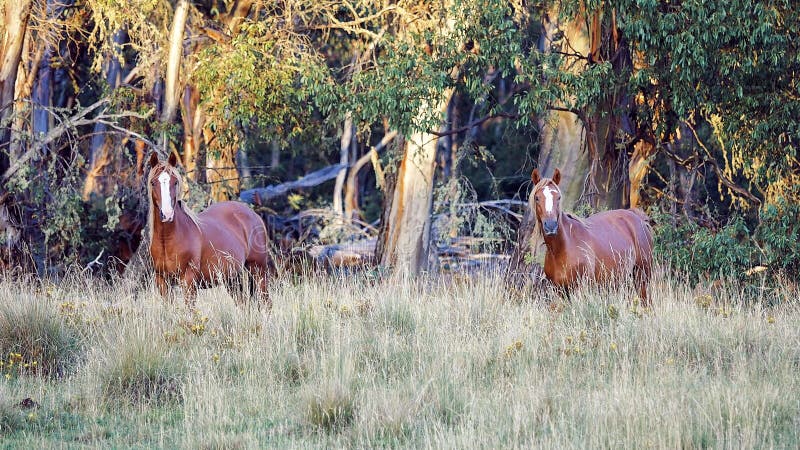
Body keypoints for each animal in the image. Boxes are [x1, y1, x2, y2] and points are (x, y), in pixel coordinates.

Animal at [147, 152, 273, 309]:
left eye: (175, 182)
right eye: (153, 183)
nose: (167, 214)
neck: (168, 240)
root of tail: (253, 215)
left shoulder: (188, 280)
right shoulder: (162, 281)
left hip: (258, 270)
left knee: (266, 303)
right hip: (232, 278)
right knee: (243, 303)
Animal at [529, 168, 654, 305]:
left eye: (558, 197)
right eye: (537, 198)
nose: (551, 225)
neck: (563, 248)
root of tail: (637, 217)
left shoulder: (580, 288)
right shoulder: (559, 291)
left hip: (642, 279)